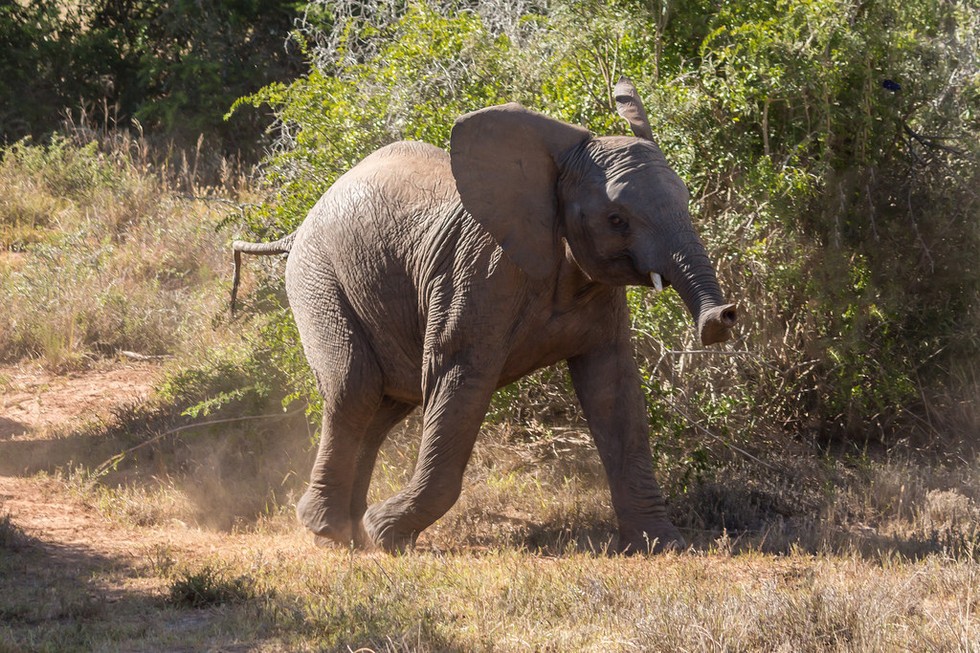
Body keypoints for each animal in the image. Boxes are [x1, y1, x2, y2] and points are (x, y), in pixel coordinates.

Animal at [231, 78, 738, 554]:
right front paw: (387, 533)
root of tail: (302, 221)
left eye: (686, 201)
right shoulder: (477, 275)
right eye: (617, 220)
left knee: (383, 404)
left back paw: (350, 535)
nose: (725, 316)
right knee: (354, 387)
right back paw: (331, 531)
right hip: (317, 277)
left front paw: (661, 545)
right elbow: (460, 380)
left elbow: (613, 390)